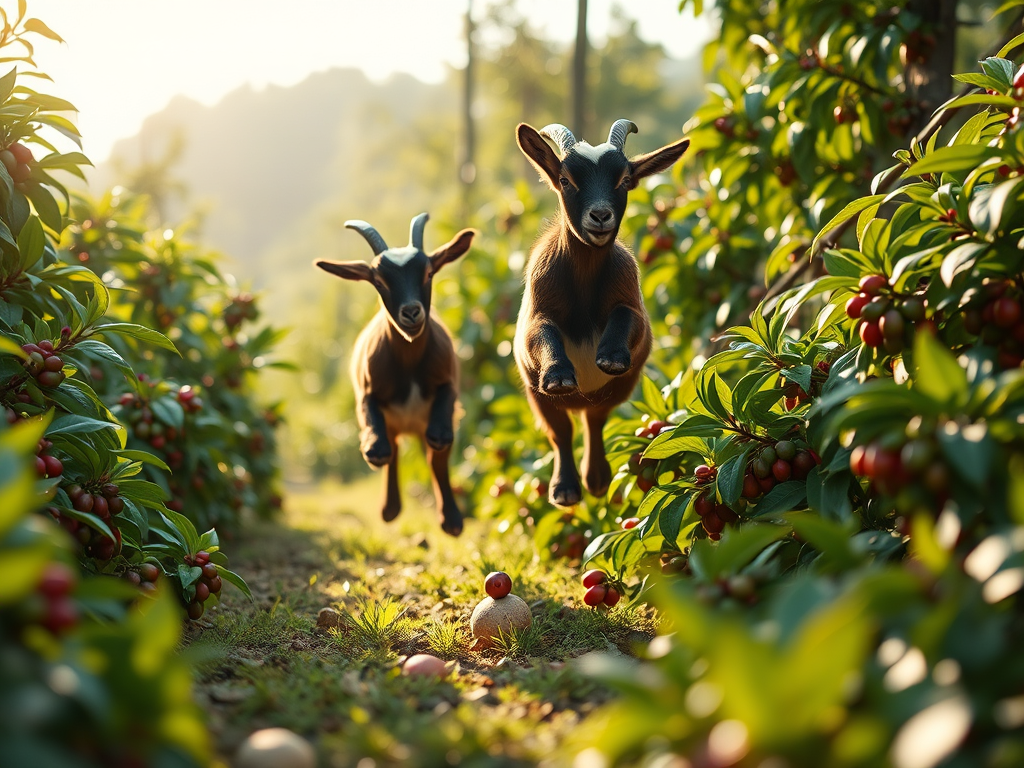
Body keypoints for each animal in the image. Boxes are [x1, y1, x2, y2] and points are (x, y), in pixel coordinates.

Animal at [315, 213, 475, 536]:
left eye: (429, 272)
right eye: (378, 281)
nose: (411, 312)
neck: (409, 363)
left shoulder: (449, 380)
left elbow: (442, 423)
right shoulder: (366, 390)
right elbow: (371, 420)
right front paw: (374, 450)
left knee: (436, 457)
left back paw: (451, 520)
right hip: (396, 425)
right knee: (396, 451)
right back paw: (390, 509)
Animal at [514, 119, 689, 507]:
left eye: (624, 180)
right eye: (565, 179)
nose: (600, 216)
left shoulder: (630, 296)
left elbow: (628, 318)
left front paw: (610, 355)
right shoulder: (537, 306)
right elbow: (541, 332)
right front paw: (558, 374)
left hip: (616, 389)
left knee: (594, 419)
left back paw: (596, 479)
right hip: (535, 394)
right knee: (561, 431)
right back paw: (566, 489)